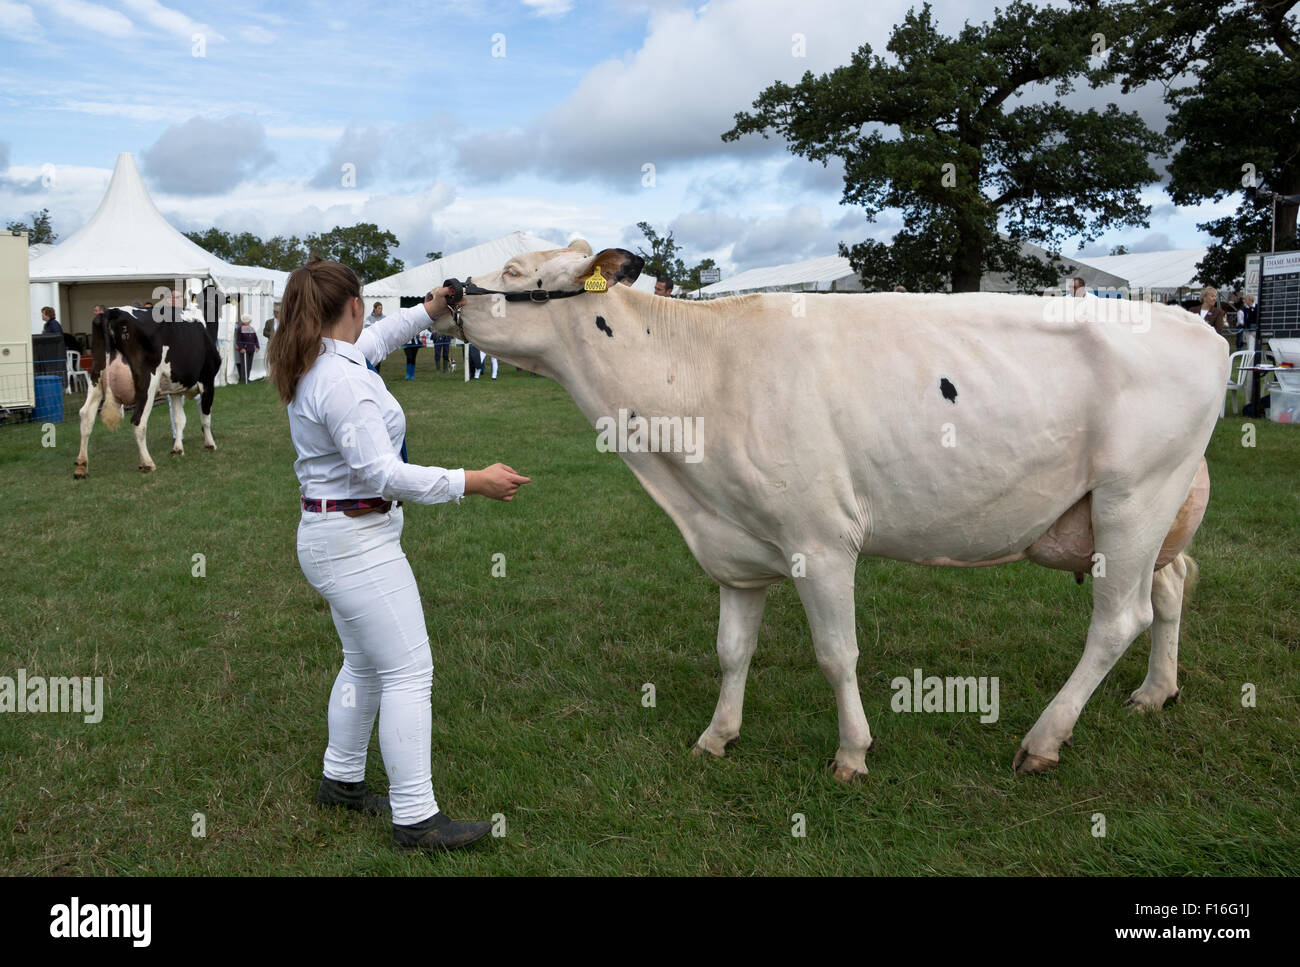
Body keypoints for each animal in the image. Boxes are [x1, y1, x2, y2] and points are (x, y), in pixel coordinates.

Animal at [74, 305, 221, 478]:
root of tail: (114, 311)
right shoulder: (208, 380)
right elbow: (205, 417)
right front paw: (210, 444)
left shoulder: (174, 389)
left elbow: (179, 419)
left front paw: (178, 449)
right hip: (147, 384)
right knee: (138, 422)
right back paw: (147, 463)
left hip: (96, 378)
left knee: (86, 416)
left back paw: (81, 466)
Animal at [434, 239, 1228, 780]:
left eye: (514, 272)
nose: (441, 292)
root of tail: (1199, 327)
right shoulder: (735, 548)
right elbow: (732, 650)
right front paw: (717, 735)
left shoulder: (820, 542)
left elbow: (836, 654)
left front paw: (852, 752)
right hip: (1150, 512)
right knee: (1170, 587)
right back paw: (1155, 693)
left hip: (1134, 497)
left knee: (1118, 618)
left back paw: (1043, 740)